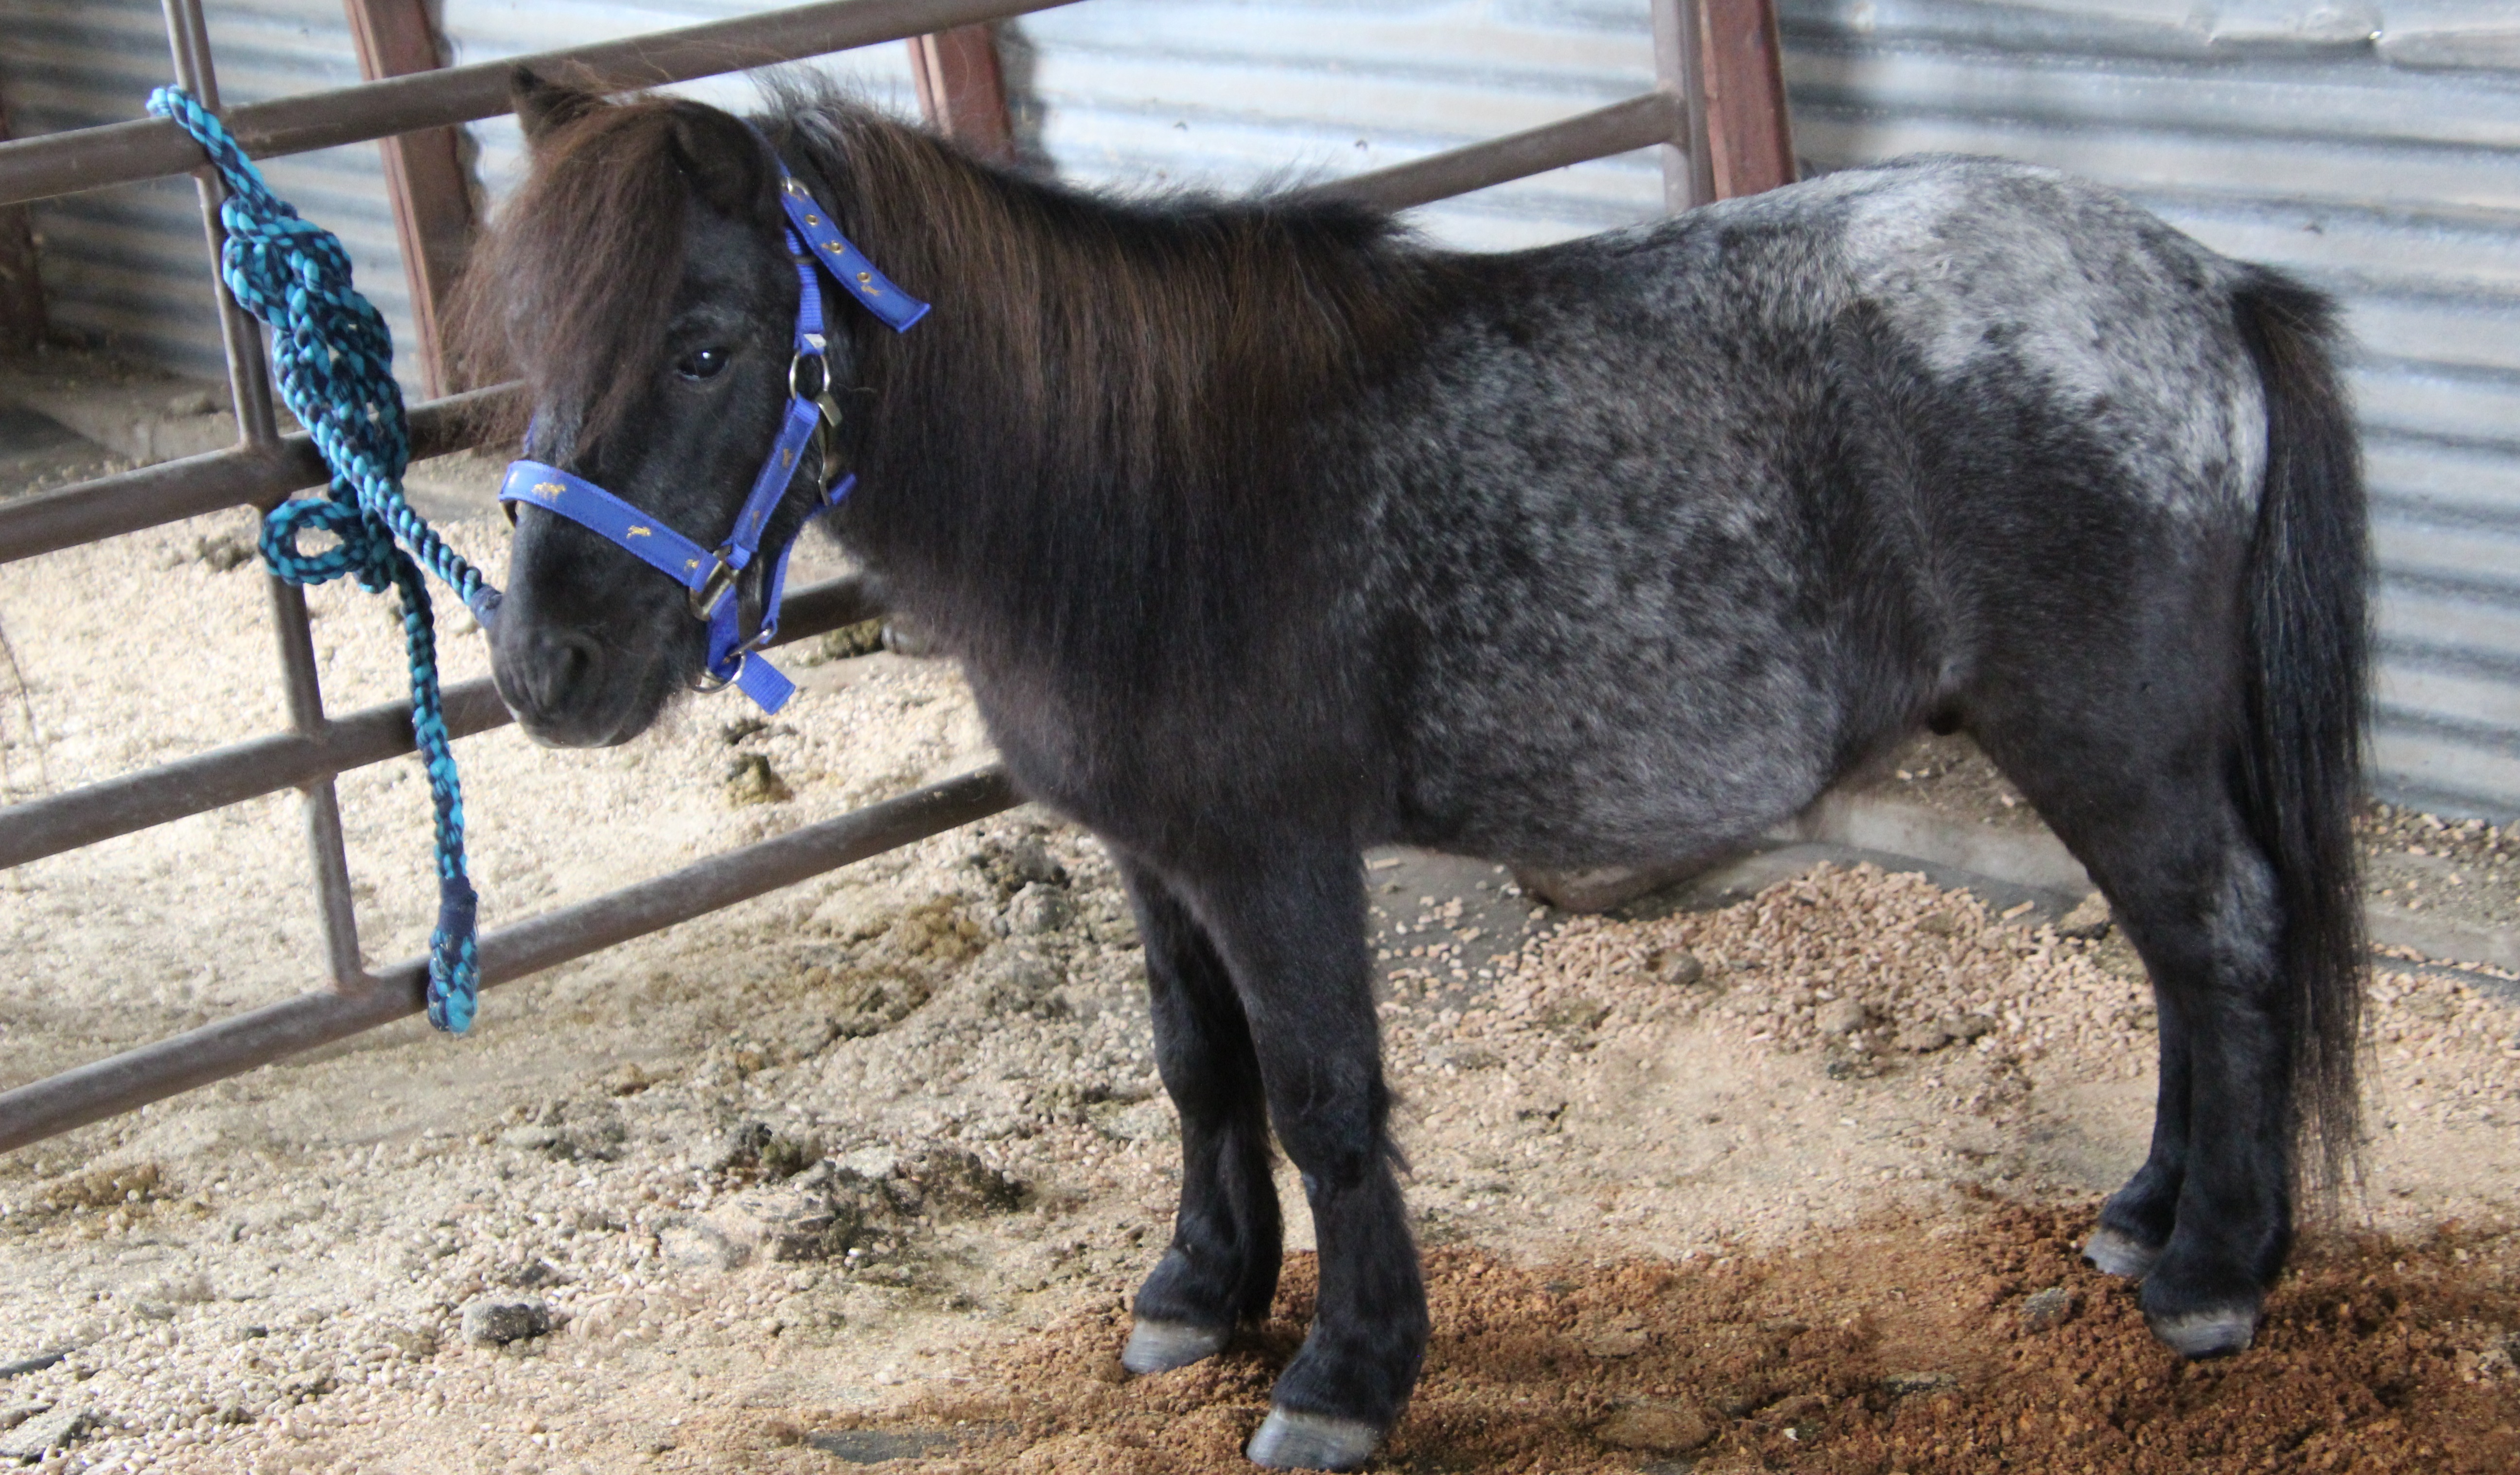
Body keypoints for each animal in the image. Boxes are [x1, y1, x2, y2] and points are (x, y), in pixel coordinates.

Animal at [453, 69, 2369, 1471]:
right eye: (532, 355)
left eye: (703, 347)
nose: (546, 673)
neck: (1139, 492)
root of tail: (2202, 289)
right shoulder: (1153, 856)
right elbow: (1197, 1068)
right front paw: (1198, 1295)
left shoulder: (1275, 857)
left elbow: (1320, 1096)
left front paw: (1344, 1376)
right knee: (2189, 959)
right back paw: (2146, 1219)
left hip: (2103, 733)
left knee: (2222, 939)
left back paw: (2213, 1270)